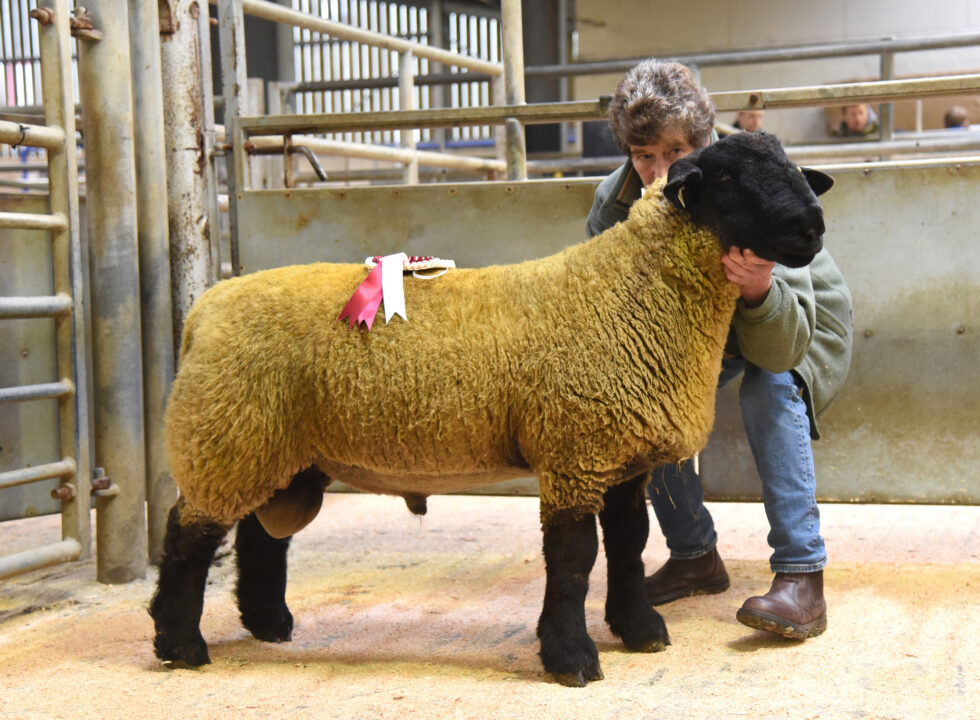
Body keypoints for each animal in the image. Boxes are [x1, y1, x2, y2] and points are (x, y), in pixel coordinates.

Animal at [149, 132, 832, 687]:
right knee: (188, 538)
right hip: (225, 433)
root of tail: (206, 307)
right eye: (725, 177)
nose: (813, 228)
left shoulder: (620, 458)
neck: (627, 294)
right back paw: (180, 644)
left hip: (273, 446)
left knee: (259, 535)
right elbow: (575, 558)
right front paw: (571, 658)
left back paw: (269, 625)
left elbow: (629, 545)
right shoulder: (574, 453)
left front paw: (639, 631)